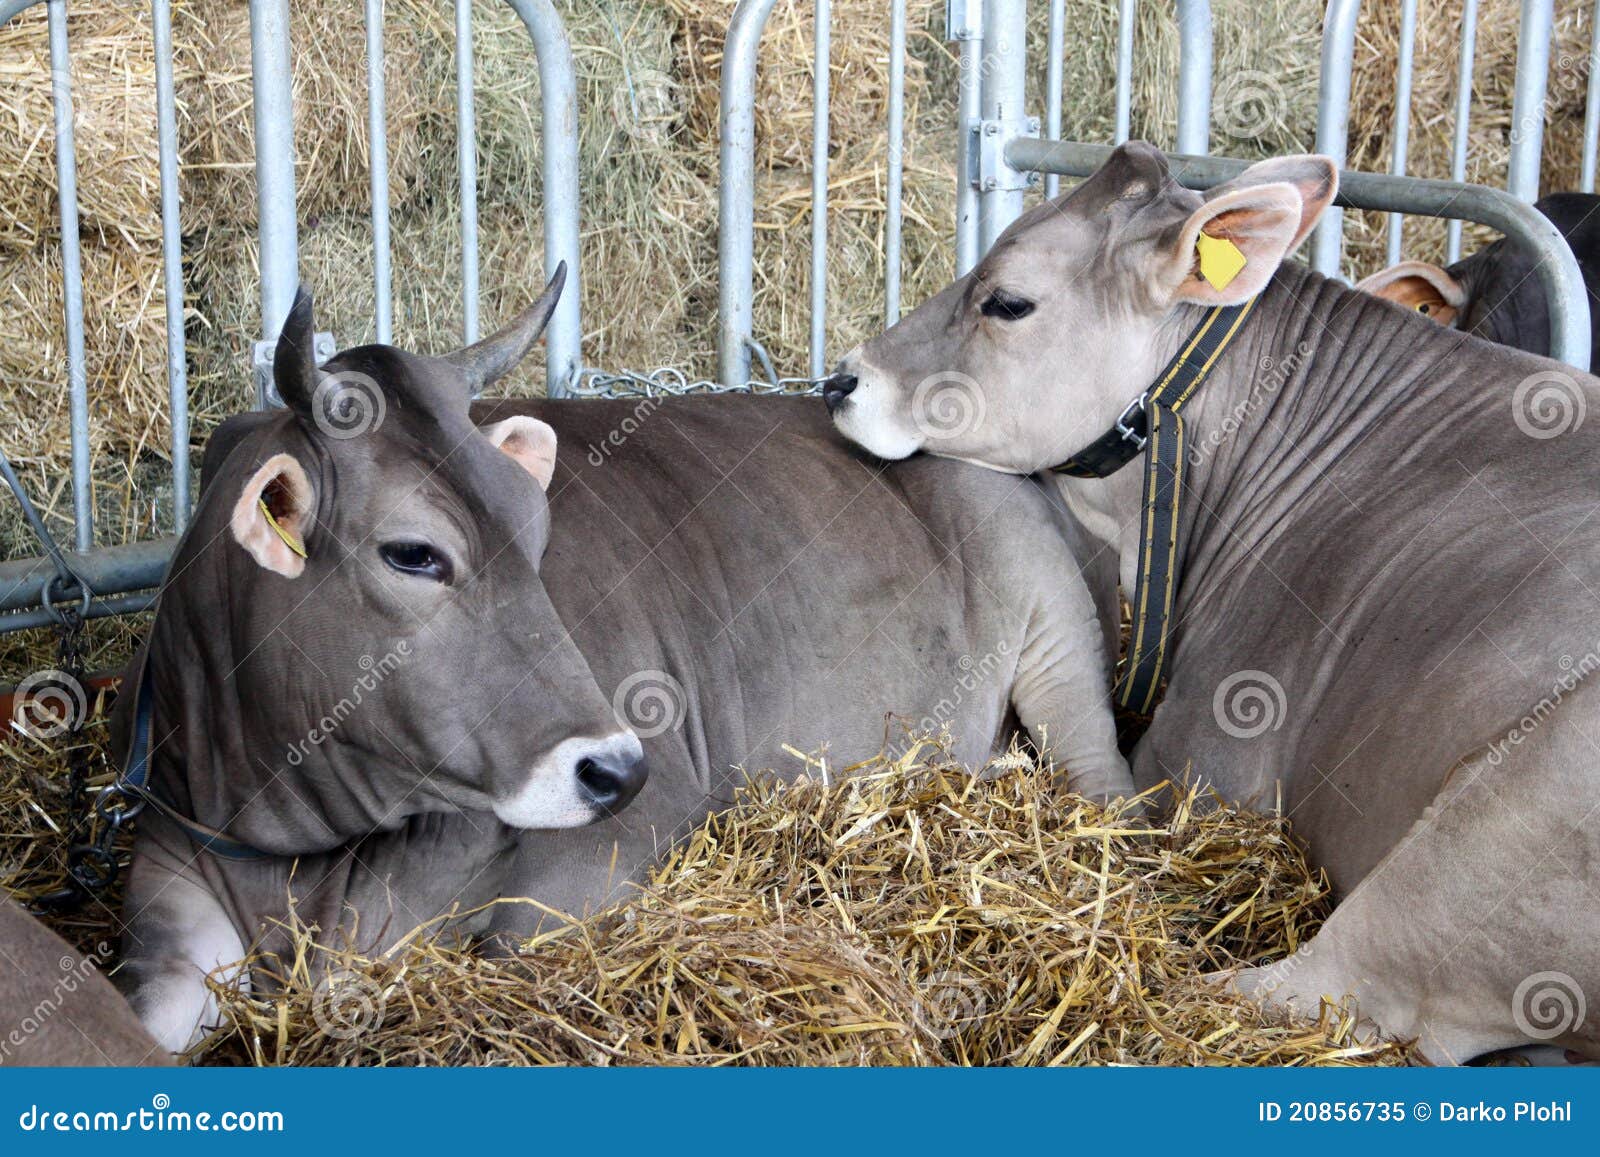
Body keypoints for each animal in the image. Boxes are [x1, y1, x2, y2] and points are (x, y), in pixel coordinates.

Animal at [118, 267, 1130, 1055]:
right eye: (412, 553)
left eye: (536, 530)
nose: (614, 768)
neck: (304, 847)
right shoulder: (170, 867)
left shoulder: (624, 837)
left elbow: (515, 940)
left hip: (1055, 631)